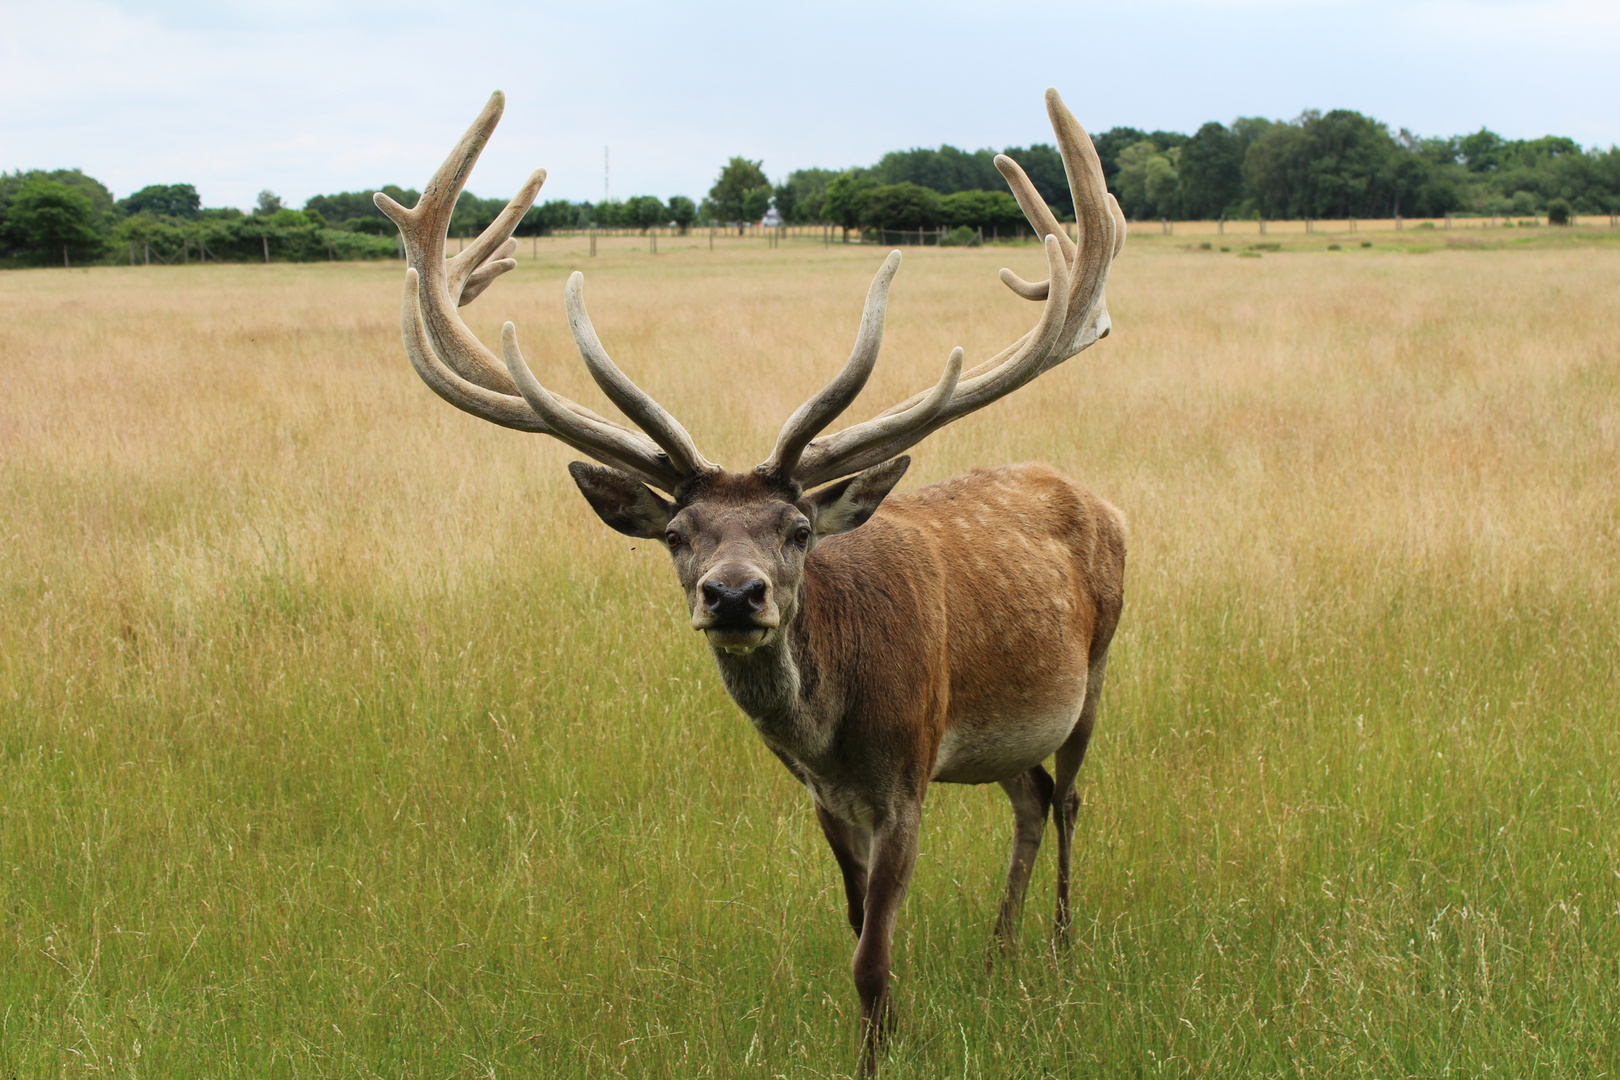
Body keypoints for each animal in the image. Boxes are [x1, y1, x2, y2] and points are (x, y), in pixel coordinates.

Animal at [374, 89, 1127, 1074]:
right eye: (676, 536)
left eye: (797, 531)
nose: (734, 595)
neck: (833, 729)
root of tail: (1101, 501)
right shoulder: (823, 797)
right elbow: (856, 927)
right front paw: (895, 1028)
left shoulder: (909, 772)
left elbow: (872, 954)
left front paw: (878, 1054)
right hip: (1001, 735)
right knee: (1030, 795)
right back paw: (1000, 953)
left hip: (1097, 668)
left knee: (1070, 795)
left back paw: (1062, 946)